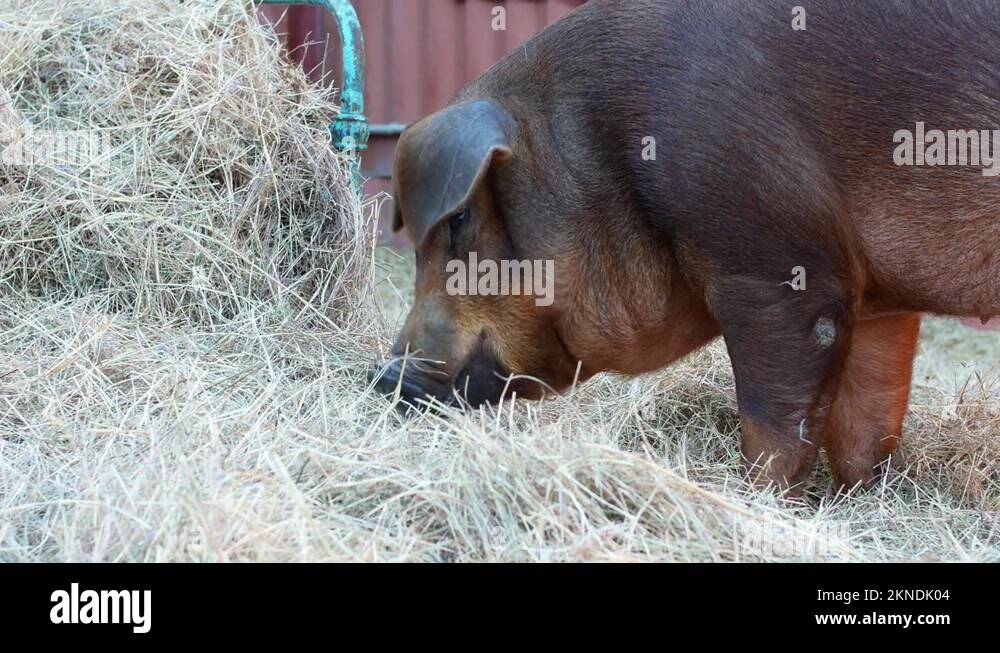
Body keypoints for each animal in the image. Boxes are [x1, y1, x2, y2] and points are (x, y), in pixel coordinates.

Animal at [372, 0, 1000, 492]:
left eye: (458, 220)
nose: (386, 377)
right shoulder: (875, 300)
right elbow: (867, 424)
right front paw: (861, 502)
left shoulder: (780, 271)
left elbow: (773, 424)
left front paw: (759, 501)